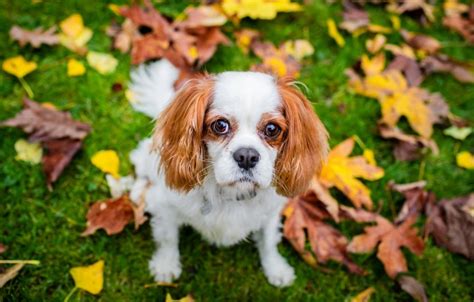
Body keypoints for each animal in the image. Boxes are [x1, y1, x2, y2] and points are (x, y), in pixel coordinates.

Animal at [131, 60, 330, 286]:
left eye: (272, 129)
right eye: (220, 125)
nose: (247, 156)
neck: (232, 193)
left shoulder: (270, 214)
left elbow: (269, 242)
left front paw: (275, 268)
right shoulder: (166, 207)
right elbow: (168, 239)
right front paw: (166, 265)